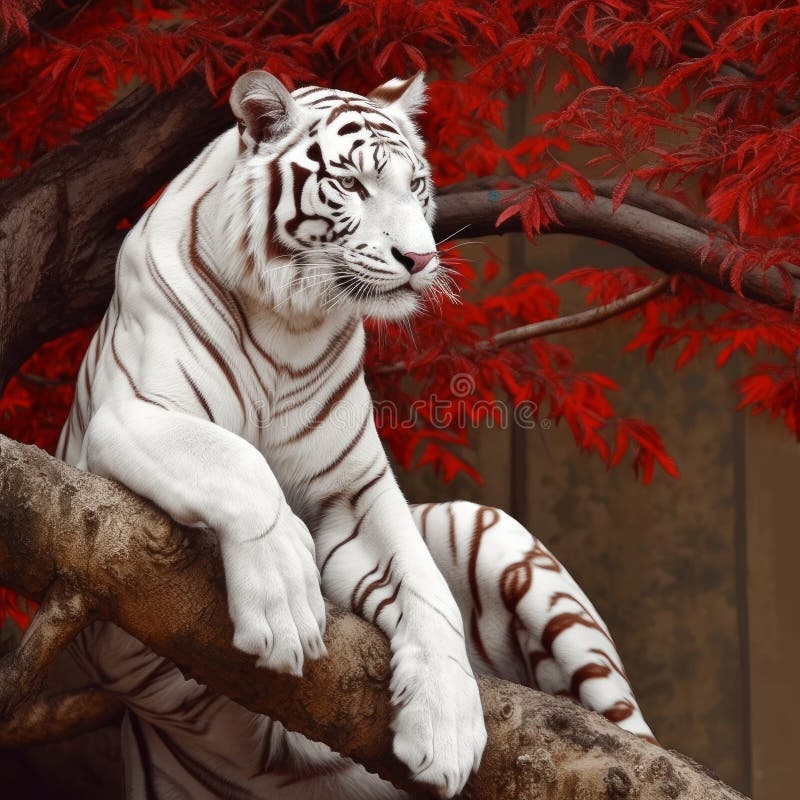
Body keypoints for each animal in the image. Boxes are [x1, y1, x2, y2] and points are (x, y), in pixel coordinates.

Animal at [57, 70, 654, 799]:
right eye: (352, 185)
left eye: (416, 184)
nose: (418, 258)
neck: (287, 318)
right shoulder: (130, 412)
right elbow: (237, 462)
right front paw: (286, 604)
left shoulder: (355, 488)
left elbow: (422, 587)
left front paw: (448, 728)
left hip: (495, 534)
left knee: (633, 735)